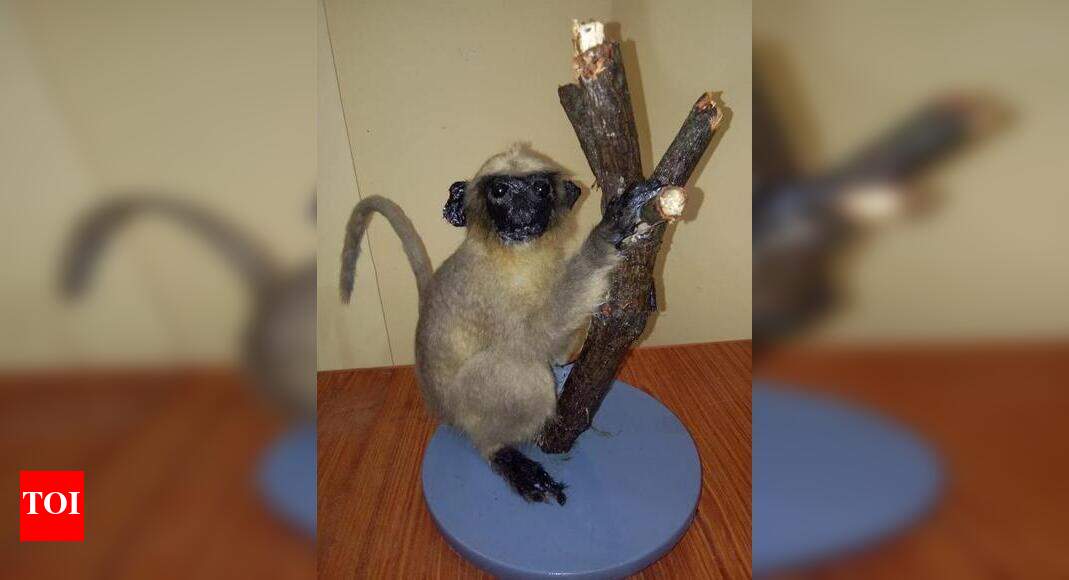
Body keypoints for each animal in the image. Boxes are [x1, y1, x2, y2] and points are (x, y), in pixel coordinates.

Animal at [340, 144, 664, 504]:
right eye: (499, 192)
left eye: (539, 189)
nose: (522, 205)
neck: (516, 255)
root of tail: (439, 406)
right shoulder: (484, 290)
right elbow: (534, 338)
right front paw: (608, 233)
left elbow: (558, 346)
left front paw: (643, 291)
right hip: (466, 405)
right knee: (519, 368)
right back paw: (499, 451)